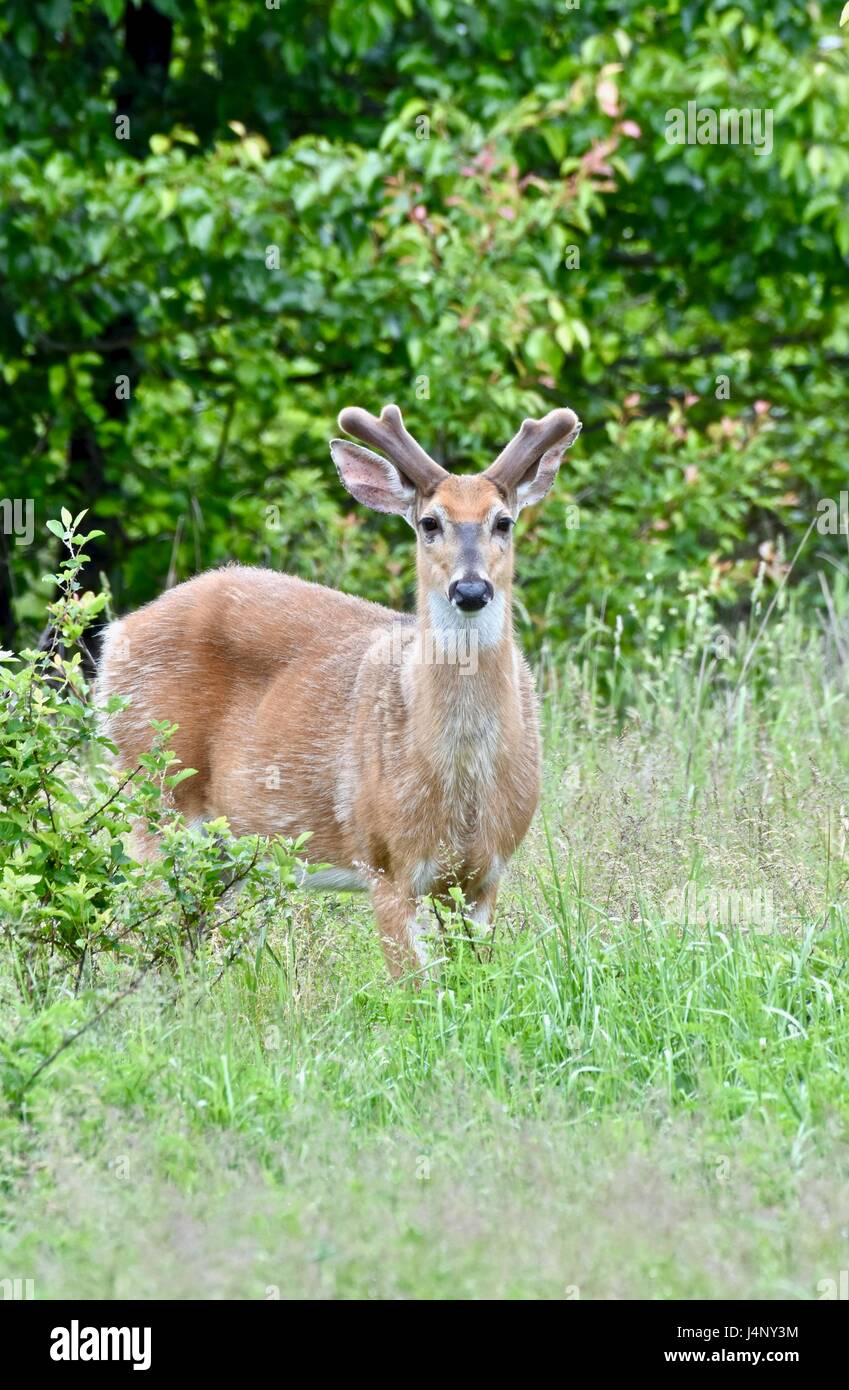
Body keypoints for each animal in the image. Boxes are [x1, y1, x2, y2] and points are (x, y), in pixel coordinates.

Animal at [96, 403, 581, 979]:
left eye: (503, 522)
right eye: (430, 522)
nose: (469, 589)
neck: (459, 783)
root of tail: (114, 637)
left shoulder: (486, 872)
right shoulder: (384, 860)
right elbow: (413, 987)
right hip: (153, 790)